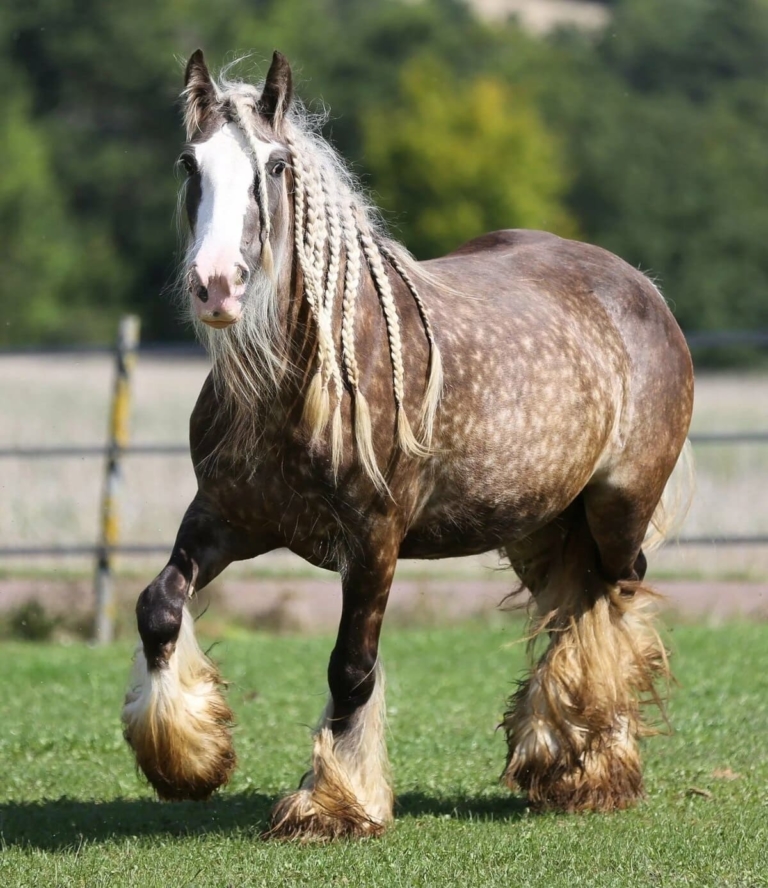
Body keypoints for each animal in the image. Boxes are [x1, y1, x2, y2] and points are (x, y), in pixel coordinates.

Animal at [122, 49, 694, 839]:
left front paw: (332, 801)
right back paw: (559, 756)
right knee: (575, 602)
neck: (302, 384)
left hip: (616, 510)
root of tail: (639, 287)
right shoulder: (225, 519)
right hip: (539, 522)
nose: (215, 286)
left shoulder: (375, 538)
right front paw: (188, 759)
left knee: (615, 592)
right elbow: (159, 606)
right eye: (189, 162)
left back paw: (597, 766)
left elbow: (350, 667)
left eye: (274, 166)